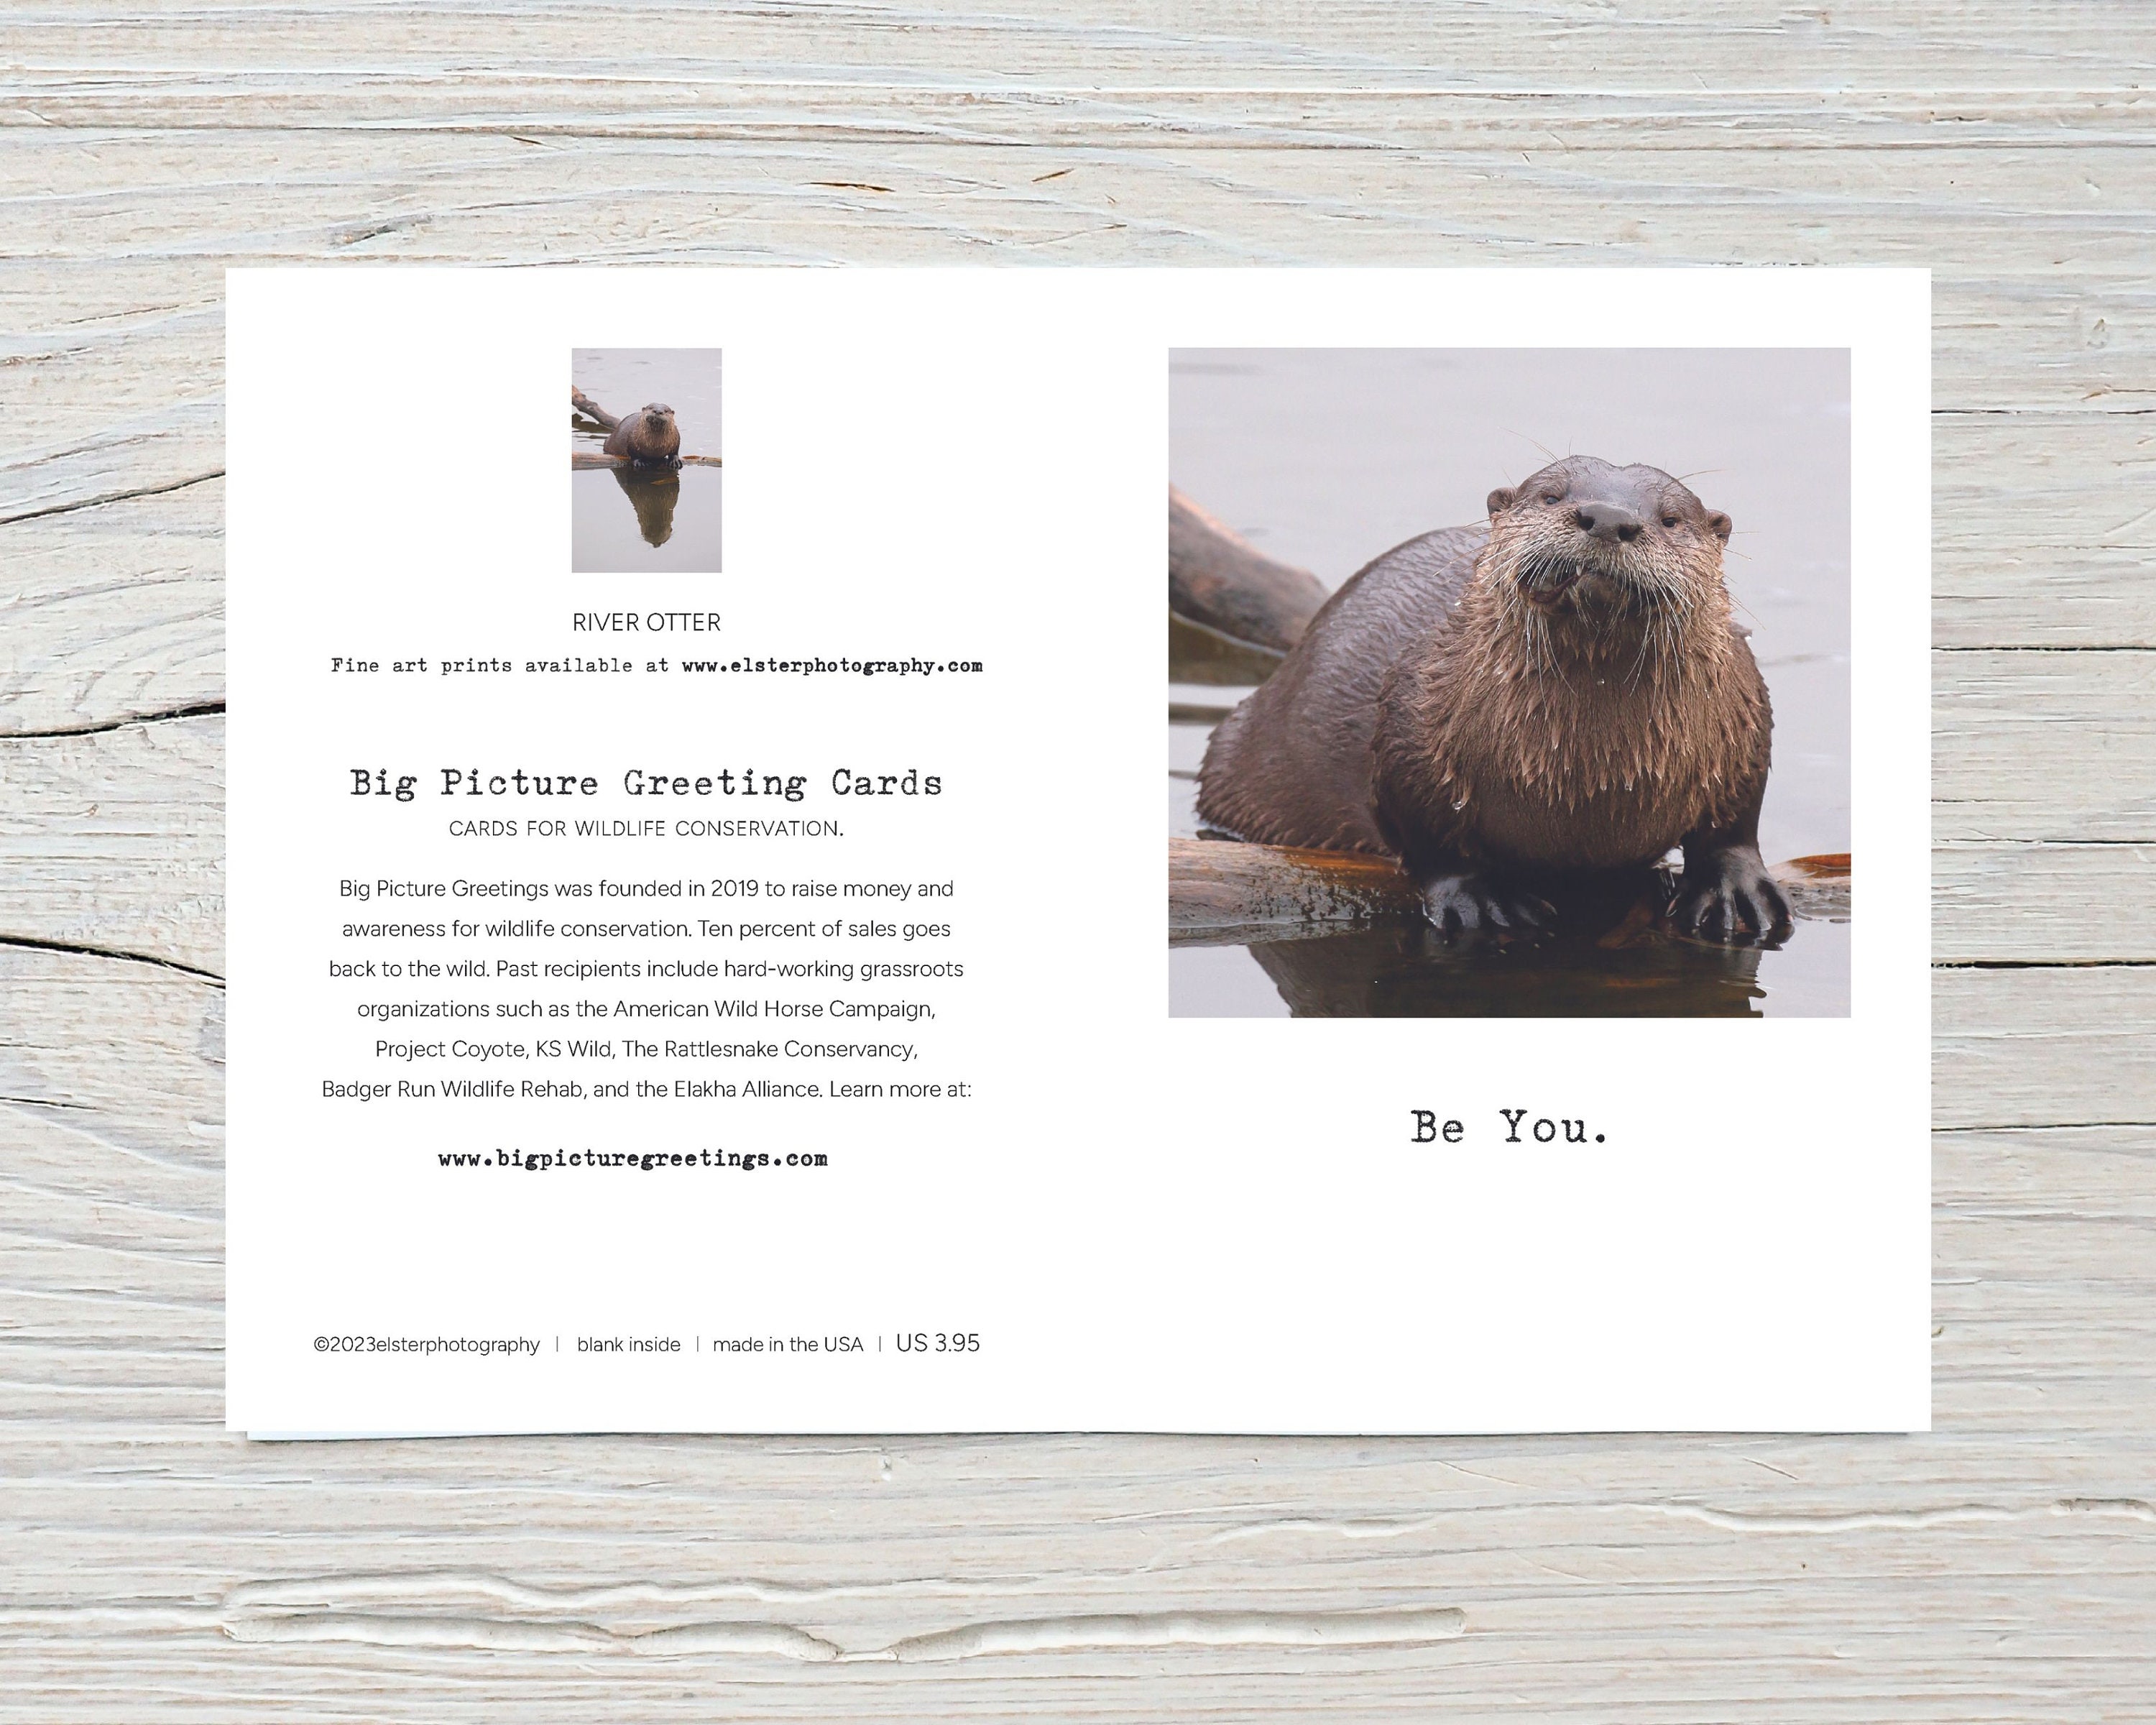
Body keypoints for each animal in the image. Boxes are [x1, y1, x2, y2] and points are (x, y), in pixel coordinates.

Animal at [1196, 456, 1792, 942]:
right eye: (1552, 495)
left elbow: (1738, 815)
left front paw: (1732, 887)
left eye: (1670, 518)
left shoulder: (1746, 712)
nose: (1606, 517)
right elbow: (1421, 825)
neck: (1588, 772)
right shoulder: (1412, 718)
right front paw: (1473, 897)